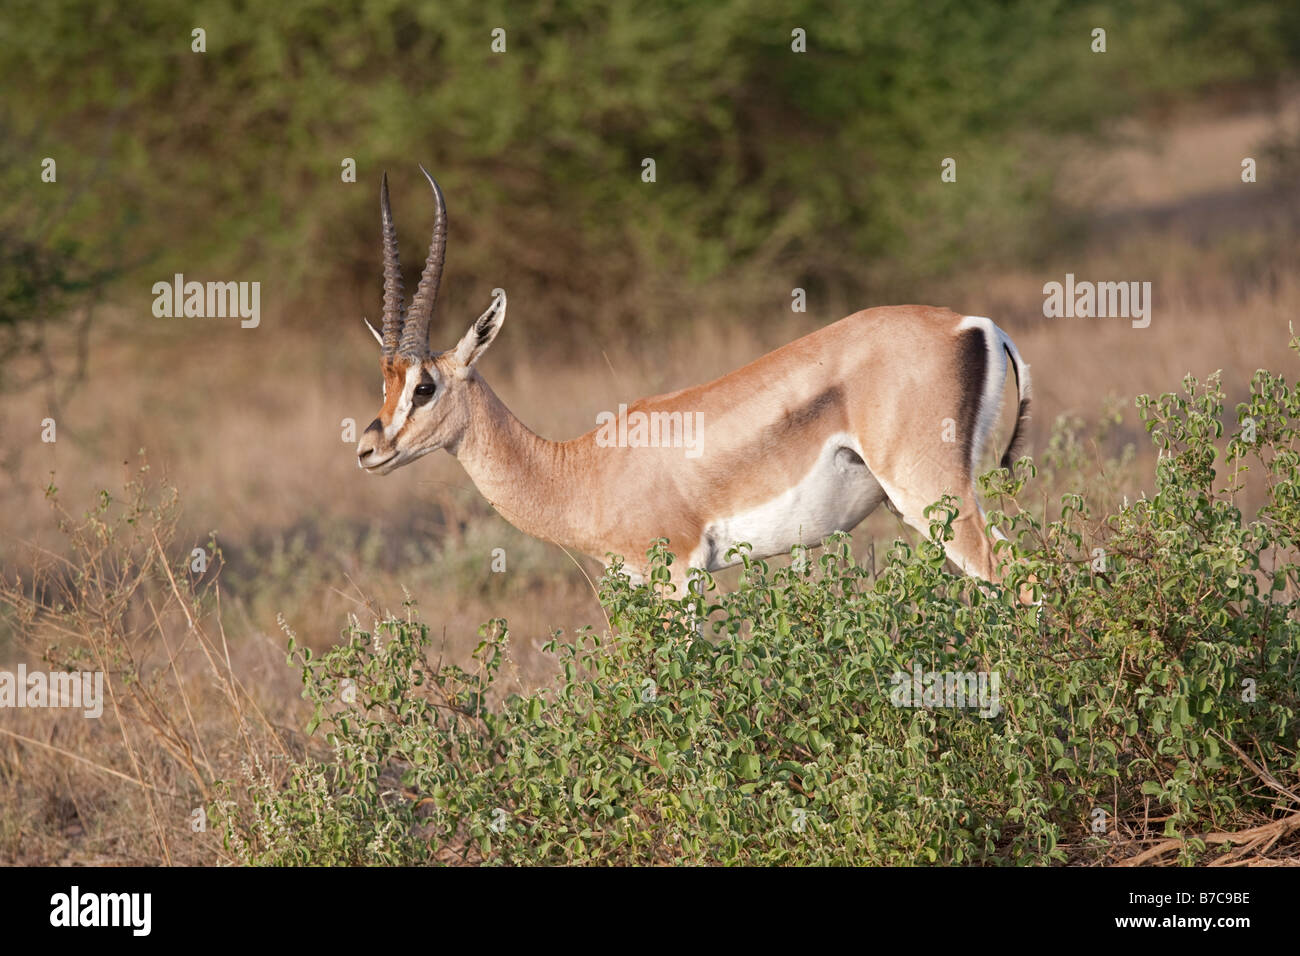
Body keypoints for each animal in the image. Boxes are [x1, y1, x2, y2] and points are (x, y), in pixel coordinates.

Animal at [356, 167, 1032, 594]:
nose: (368, 448)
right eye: (383, 384)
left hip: (931, 494)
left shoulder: (677, 576)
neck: (580, 469)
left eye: (424, 386)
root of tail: (974, 325)